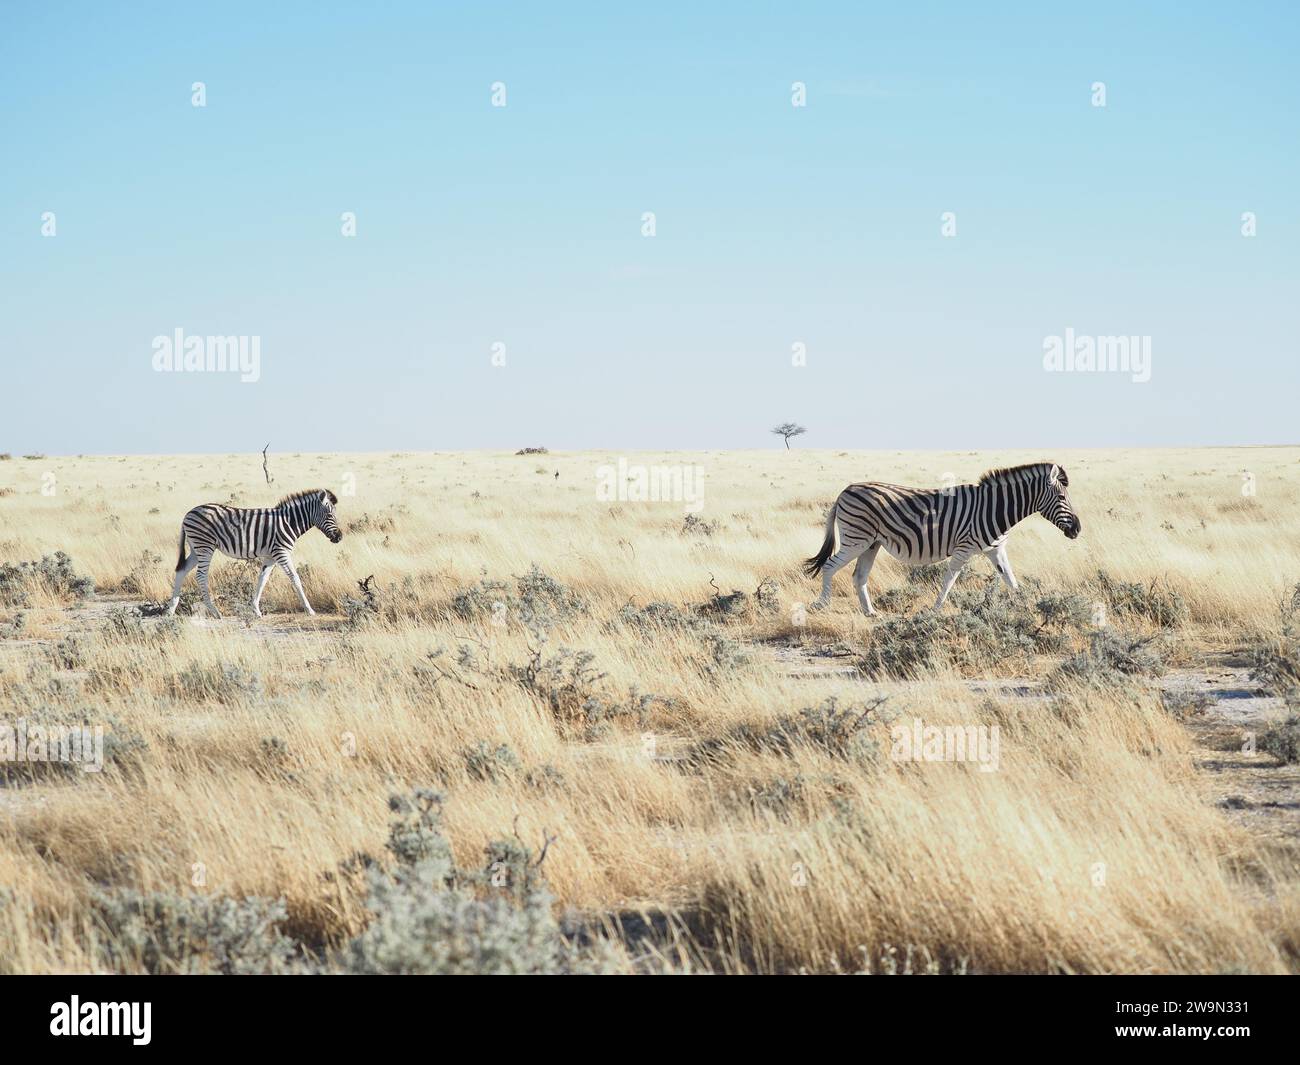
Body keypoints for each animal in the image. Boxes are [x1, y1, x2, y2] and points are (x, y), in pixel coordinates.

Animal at [166, 489, 343, 618]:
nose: (339, 537)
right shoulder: (281, 552)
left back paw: (171, 610)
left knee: (181, 570)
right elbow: (295, 578)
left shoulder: (271, 556)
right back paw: (215, 612)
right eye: (330, 515)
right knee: (201, 576)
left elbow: (262, 579)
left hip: (196, 548)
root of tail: (188, 513)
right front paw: (309, 610)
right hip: (204, 546)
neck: (289, 522)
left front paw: (256, 609)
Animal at [804, 463, 1080, 615]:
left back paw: (870, 612)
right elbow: (948, 581)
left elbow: (1011, 582)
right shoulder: (964, 548)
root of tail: (845, 490)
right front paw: (935, 611)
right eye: (1062, 498)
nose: (1077, 530)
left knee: (859, 576)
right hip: (856, 539)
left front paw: (1026, 607)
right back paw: (822, 605)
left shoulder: (996, 549)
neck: (996, 509)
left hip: (871, 544)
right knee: (829, 565)